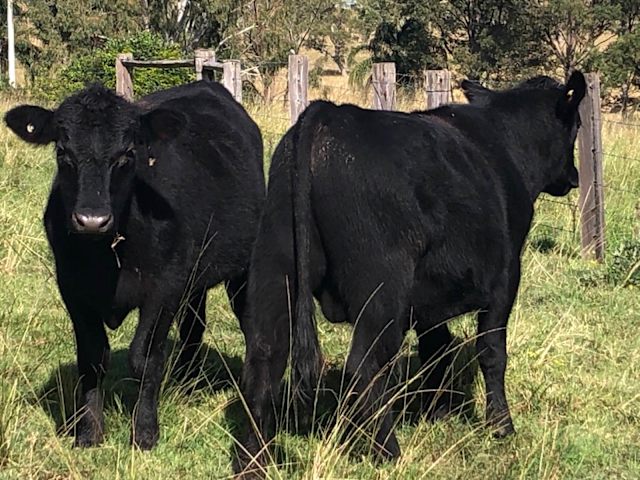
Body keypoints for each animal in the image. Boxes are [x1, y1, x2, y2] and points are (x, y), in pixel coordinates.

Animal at [4, 81, 265, 450]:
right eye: (62, 152)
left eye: (127, 154)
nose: (92, 220)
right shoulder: (72, 289)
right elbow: (92, 359)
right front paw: (88, 432)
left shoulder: (164, 288)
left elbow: (145, 358)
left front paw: (144, 432)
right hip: (195, 277)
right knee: (193, 324)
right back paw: (185, 381)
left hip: (240, 265)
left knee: (245, 319)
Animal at [234, 72, 586, 477]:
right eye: (576, 126)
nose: (574, 176)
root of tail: (329, 115)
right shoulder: (505, 276)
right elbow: (492, 352)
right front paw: (501, 425)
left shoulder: (430, 296)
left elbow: (437, 348)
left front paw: (438, 411)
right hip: (383, 290)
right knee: (363, 366)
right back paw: (388, 452)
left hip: (275, 268)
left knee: (265, 359)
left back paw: (253, 461)